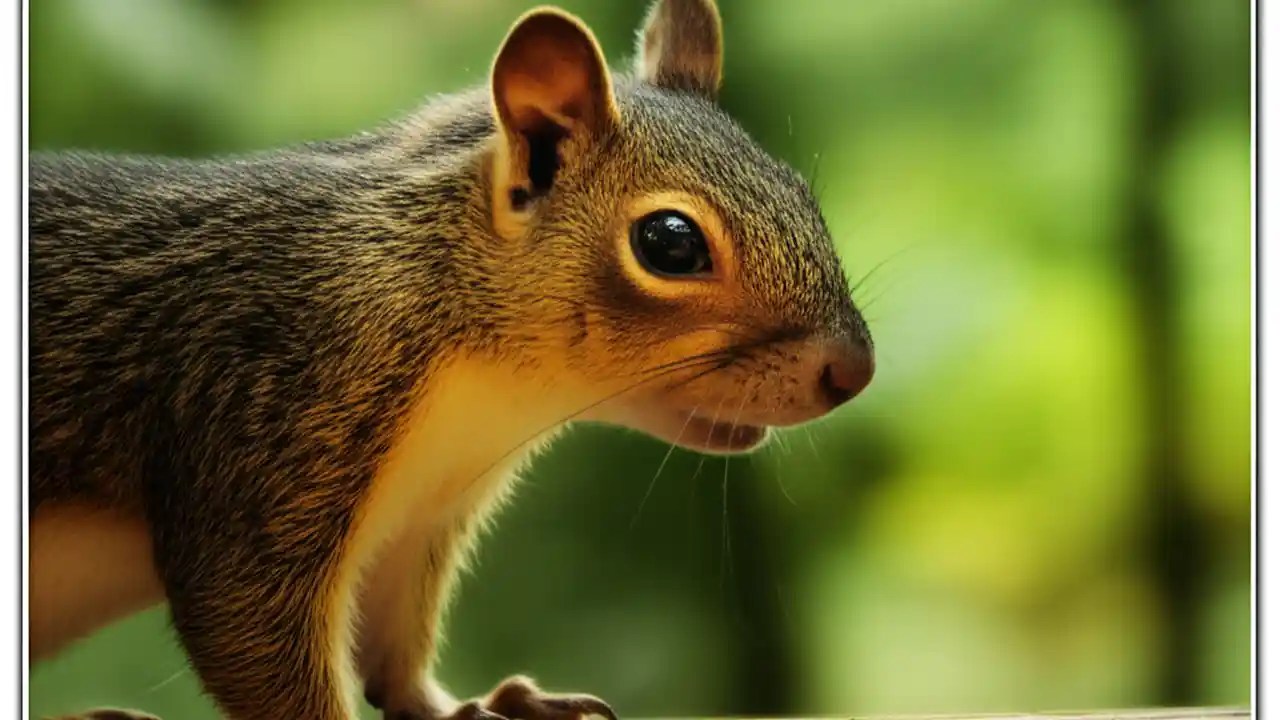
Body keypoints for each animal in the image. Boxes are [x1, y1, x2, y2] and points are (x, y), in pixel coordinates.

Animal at [28, 0, 874, 718]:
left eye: (800, 190)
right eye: (669, 242)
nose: (854, 371)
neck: (491, 386)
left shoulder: (423, 515)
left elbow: (395, 650)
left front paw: (475, 705)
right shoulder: (265, 409)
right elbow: (241, 618)